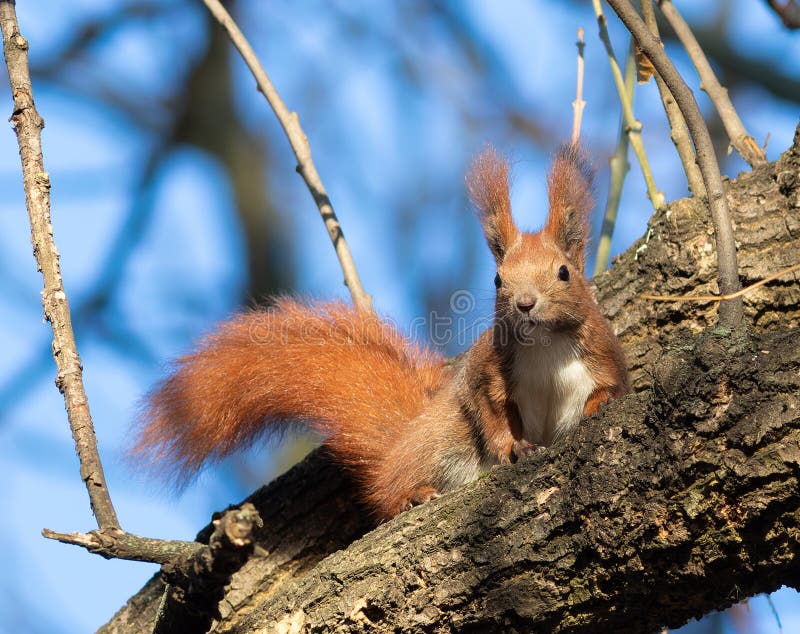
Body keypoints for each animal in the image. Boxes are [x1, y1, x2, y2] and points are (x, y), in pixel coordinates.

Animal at [133, 144, 630, 521]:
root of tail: (401, 443)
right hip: (441, 442)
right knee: (392, 489)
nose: (525, 304)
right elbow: (487, 412)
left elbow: (613, 385)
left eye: (564, 272)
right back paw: (411, 494)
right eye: (497, 280)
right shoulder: (489, 370)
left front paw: (599, 406)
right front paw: (514, 447)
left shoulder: (602, 351)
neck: (544, 343)